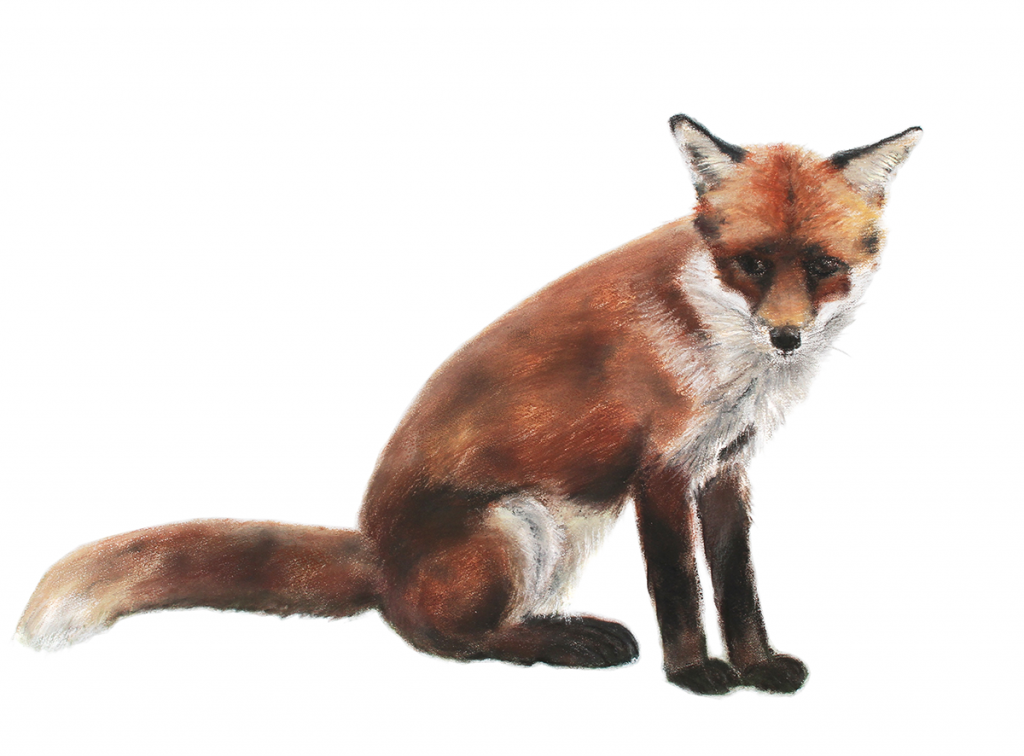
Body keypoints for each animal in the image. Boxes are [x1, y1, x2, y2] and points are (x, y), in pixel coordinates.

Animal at [17, 116, 920, 695]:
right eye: (753, 264)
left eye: (823, 267)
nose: (787, 338)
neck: (723, 351)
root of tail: (378, 554)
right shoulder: (659, 472)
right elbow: (678, 589)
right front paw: (697, 674)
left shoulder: (724, 468)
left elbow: (738, 584)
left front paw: (758, 666)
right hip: (519, 522)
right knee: (449, 639)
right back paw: (567, 643)